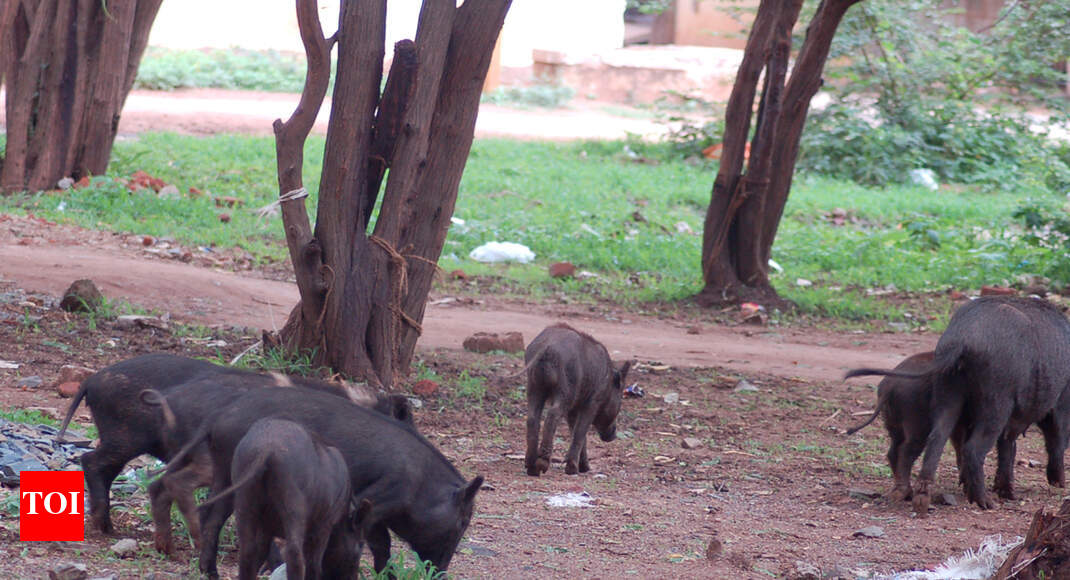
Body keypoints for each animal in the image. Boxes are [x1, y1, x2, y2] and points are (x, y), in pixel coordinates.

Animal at [57, 353, 413, 554]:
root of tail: (92, 380)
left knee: (106, 469)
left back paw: (118, 531)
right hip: (125, 437)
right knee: (93, 463)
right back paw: (110, 529)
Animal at [198, 418, 369, 580]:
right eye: (360, 544)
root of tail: (267, 449)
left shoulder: (265, 529)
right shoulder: (323, 526)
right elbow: (314, 563)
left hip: (243, 499)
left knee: (247, 551)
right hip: (293, 504)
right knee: (294, 554)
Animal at [524, 323, 632, 476]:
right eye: (621, 396)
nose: (613, 436)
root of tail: (546, 348)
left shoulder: (574, 409)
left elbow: (576, 431)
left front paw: (584, 467)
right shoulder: (592, 402)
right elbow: (580, 432)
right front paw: (574, 469)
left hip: (534, 387)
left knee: (532, 418)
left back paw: (531, 467)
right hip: (565, 391)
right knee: (552, 415)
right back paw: (542, 463)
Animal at [846, 296, 1070, 514]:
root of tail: (962, 340)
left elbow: (1007, 447)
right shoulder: (1059, 404)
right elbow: (1054, 438)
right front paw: (1059, 485)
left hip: (947, 391)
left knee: (933, 440)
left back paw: (920, 502)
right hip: (995, 401)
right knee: (971, 449)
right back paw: (986, 503)